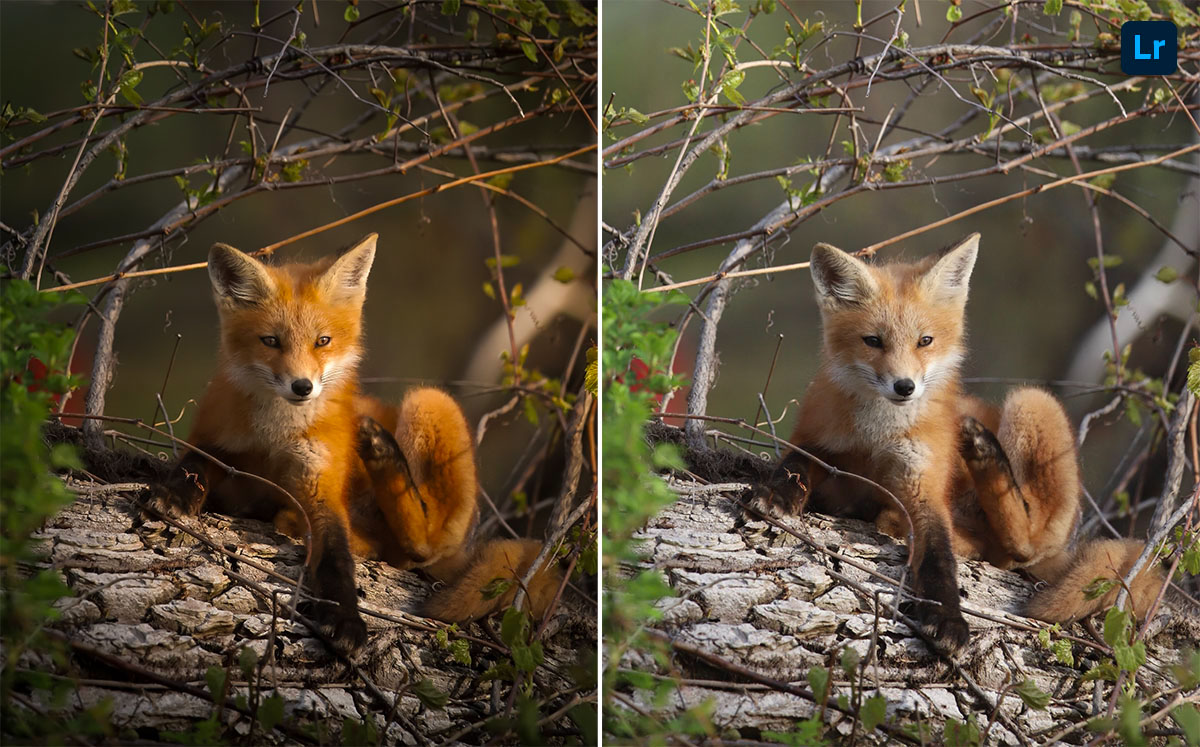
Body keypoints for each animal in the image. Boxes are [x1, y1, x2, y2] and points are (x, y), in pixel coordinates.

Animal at [149, 234, 560, 652]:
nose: (302, 386)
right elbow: (193, 464)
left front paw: (345, 619)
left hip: (429, 402)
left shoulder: (320, 480)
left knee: (419, 548)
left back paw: (381, 455)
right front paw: (175, 495)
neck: (275, 435)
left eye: (322, 341)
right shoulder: (216, 440)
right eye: (271, 341)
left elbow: (336, 555)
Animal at [752, 233, 1164, 653]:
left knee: (1020, 547)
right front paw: (777, 496)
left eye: (925, 341)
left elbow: (938, 554)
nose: (904, 387)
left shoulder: (924, 481)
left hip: (1032, 402)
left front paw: (947, 618)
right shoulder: (818, 440)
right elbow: (794, 465)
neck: (878, 435)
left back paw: (983, 455)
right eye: (873, 342)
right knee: (989, 547)